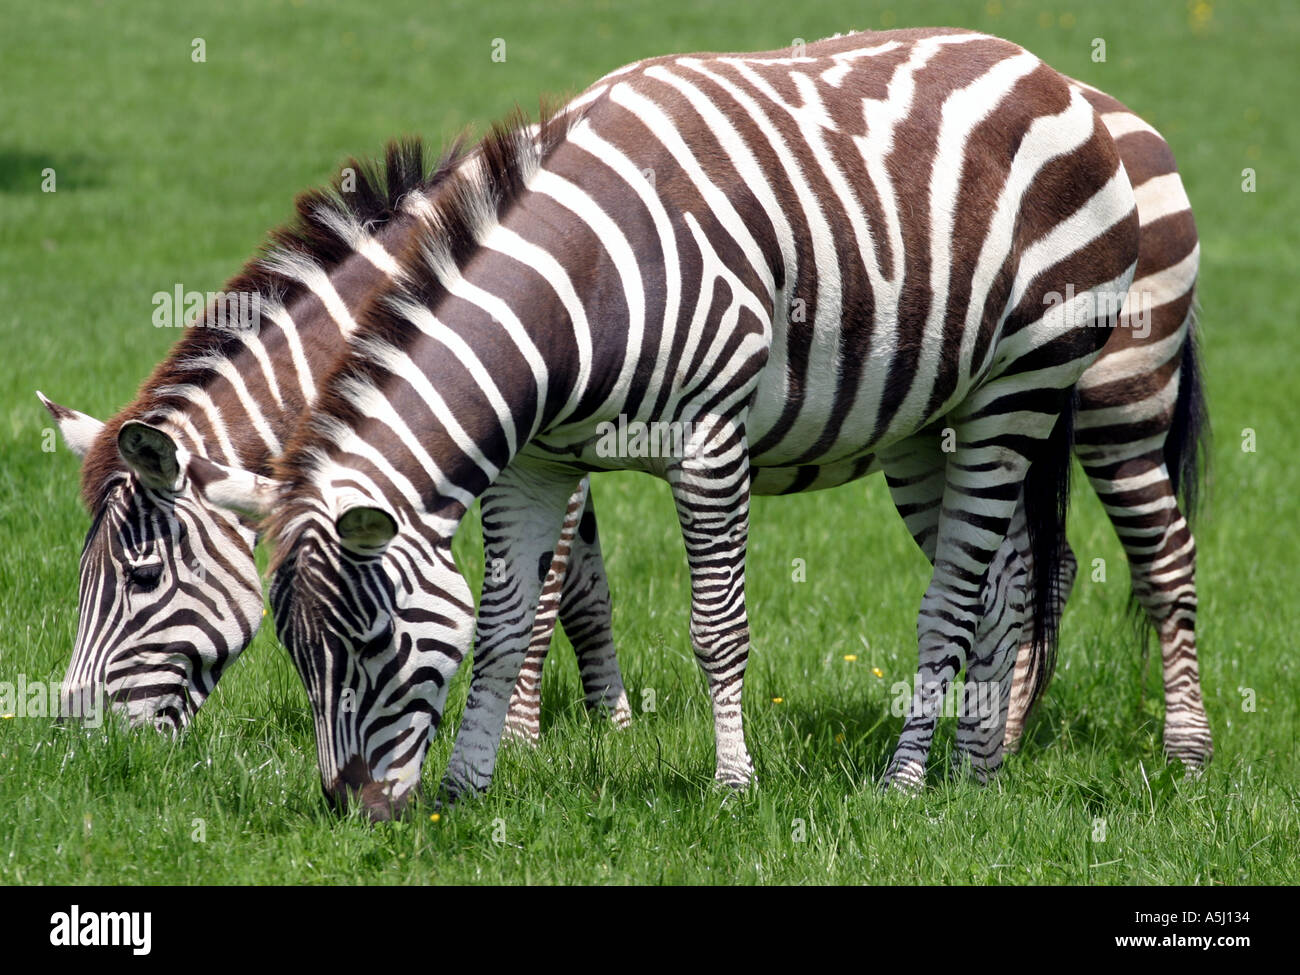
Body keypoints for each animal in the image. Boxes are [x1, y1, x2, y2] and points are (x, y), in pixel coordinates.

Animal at [41, 138, 631, 734]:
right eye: (81, 576)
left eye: (144, 577)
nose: (75, 734)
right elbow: (584, 585)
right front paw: (612, 721)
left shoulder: (542, 455)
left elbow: (550, 586)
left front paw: (524, 733)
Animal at [220, 28, 1141, 817]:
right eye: (293, 654)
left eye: (373, 643)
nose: (351, 809)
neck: (582, 292)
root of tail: (1042, 71)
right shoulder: (535, 467)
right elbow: (504, 627)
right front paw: (466, 787)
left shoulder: (708, 446)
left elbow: (717, 629)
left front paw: (735, 786)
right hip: (928, 422)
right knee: (1008, 577)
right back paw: (977, 771)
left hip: (1018, 387)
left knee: (954, 595)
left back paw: (906, 778)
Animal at [507, 79, 1212, 768]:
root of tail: (1116, 113)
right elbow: (579, 584)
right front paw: (602, 722)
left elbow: (553, 588)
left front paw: (524, 735)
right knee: (1041, 563)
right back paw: (1006, 736)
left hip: (1118, 394)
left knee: (1165, 553)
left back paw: (1184, 753)